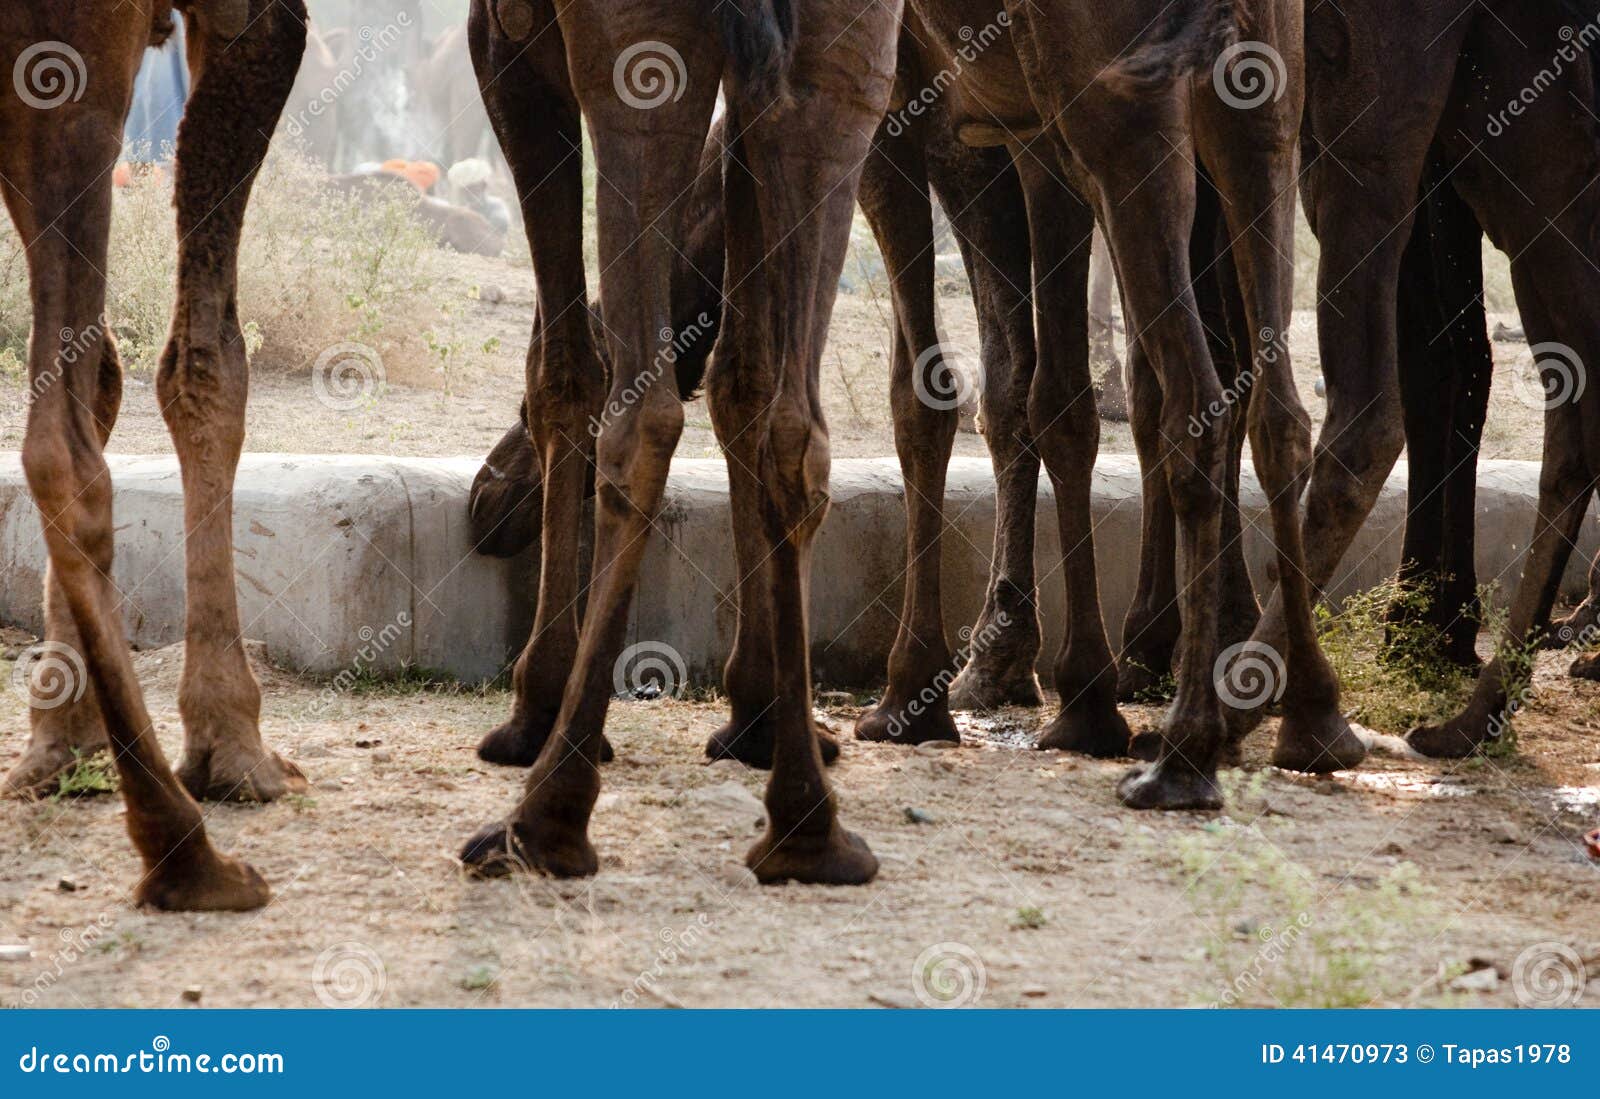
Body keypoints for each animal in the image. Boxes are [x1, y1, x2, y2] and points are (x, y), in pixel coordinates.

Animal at [2, 0, 305, 909]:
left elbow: (101, 368)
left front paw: (60, 731)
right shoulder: (251, 18)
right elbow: (206, 360)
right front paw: (230, 741)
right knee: (60, 455)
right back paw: (185, 851)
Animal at [455, 0, 900, 884]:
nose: (483, 504)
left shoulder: (504, 40)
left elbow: (564, 372)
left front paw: (534, 710)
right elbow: (745, 381)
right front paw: (761, 714)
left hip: (640, 52)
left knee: (646, 415)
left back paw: (542, 820)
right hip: (851, 54)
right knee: (799, 431)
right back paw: (810, 832)